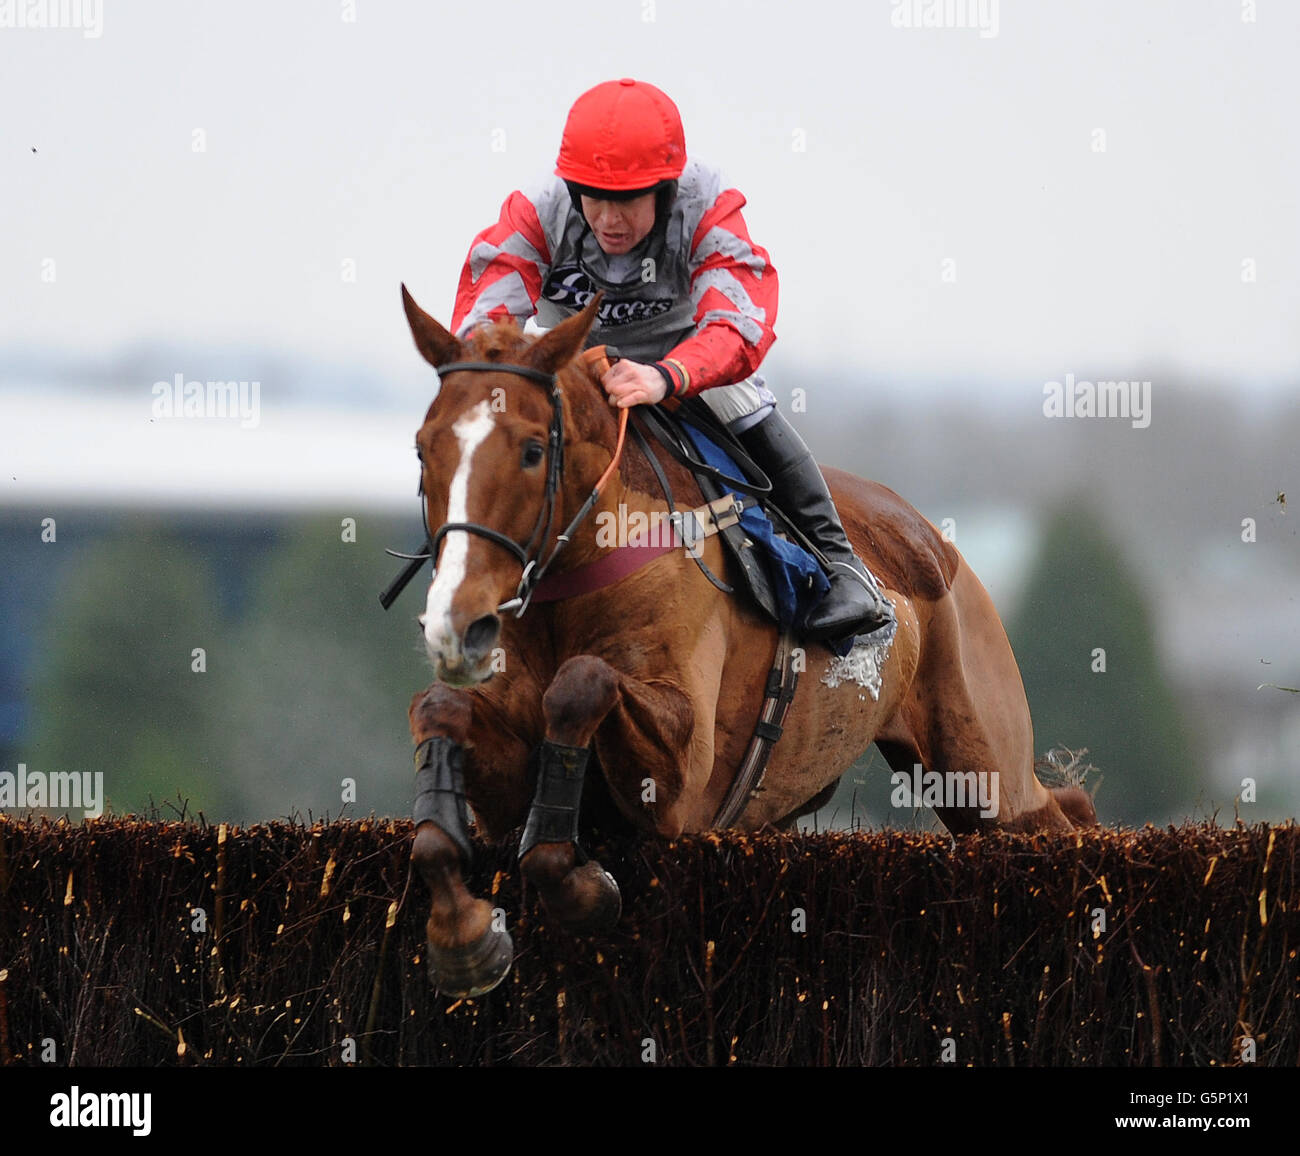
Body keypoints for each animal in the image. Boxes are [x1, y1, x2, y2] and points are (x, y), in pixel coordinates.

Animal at [398, 286, 1097, 998]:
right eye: (424, 450)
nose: (459, 625)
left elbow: (581, 682)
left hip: (982, 772)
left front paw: (578, 886)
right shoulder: (506, 792)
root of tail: (938, 541)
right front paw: (463, 933)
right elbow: (440, 713)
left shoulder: (681, 786)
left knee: (1057, 817)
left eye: (533, 450)